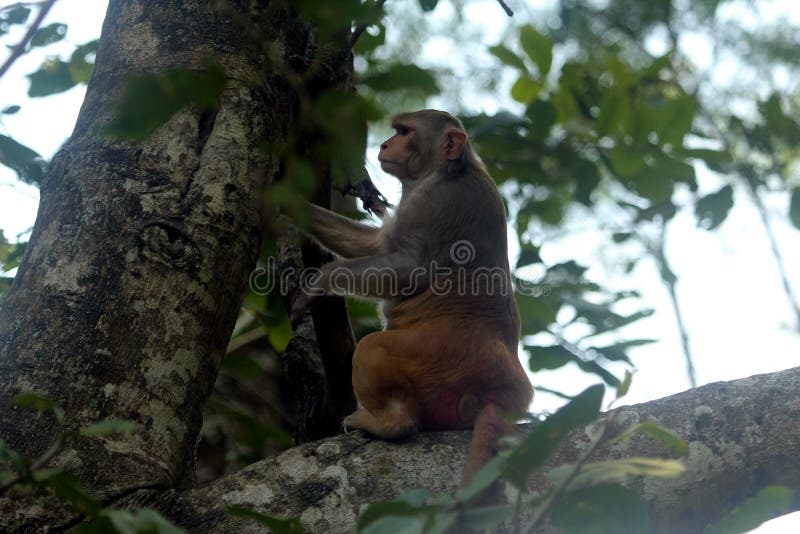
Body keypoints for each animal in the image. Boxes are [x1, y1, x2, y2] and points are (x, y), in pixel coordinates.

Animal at [291, 109, 533, 486]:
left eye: (405, 132)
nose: (385, 145)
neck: (451, 168)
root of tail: (506, 387)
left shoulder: (433, 201)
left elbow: (410, 269)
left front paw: (321, 280)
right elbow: (375, 245)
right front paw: (280, 201)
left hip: (437, 357)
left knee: (373, 349)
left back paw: (390, 423)